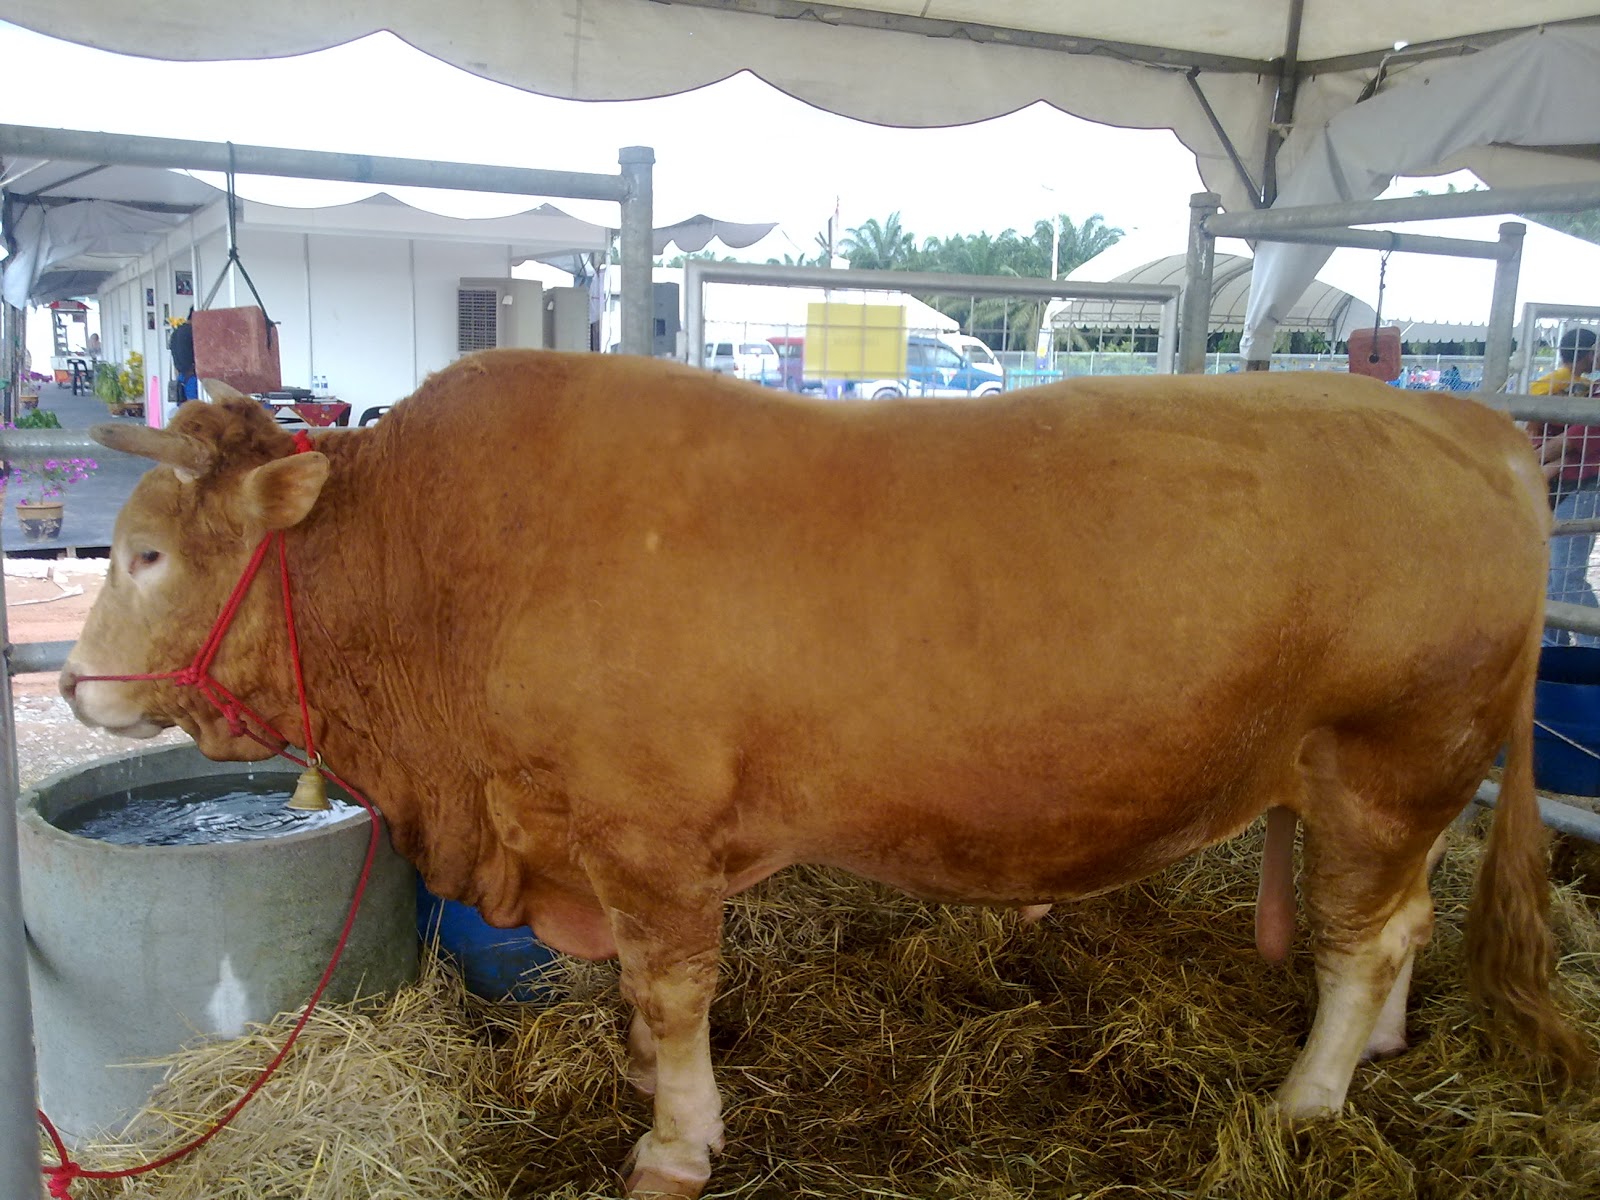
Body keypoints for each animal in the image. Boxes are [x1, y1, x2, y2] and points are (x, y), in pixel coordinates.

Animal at [62, 351, 1590, 1198]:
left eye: (144, 551)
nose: (74, 684)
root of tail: (1476, 430)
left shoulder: (650, 836)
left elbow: (671, 993)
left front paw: (674, 1142)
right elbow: (636, 997)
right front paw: (641, 1084)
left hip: (1391, 759)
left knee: (1365, 933)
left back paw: (1311, 1098)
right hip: (1378, 784)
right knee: (1396, 927)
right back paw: (1376, 1050)